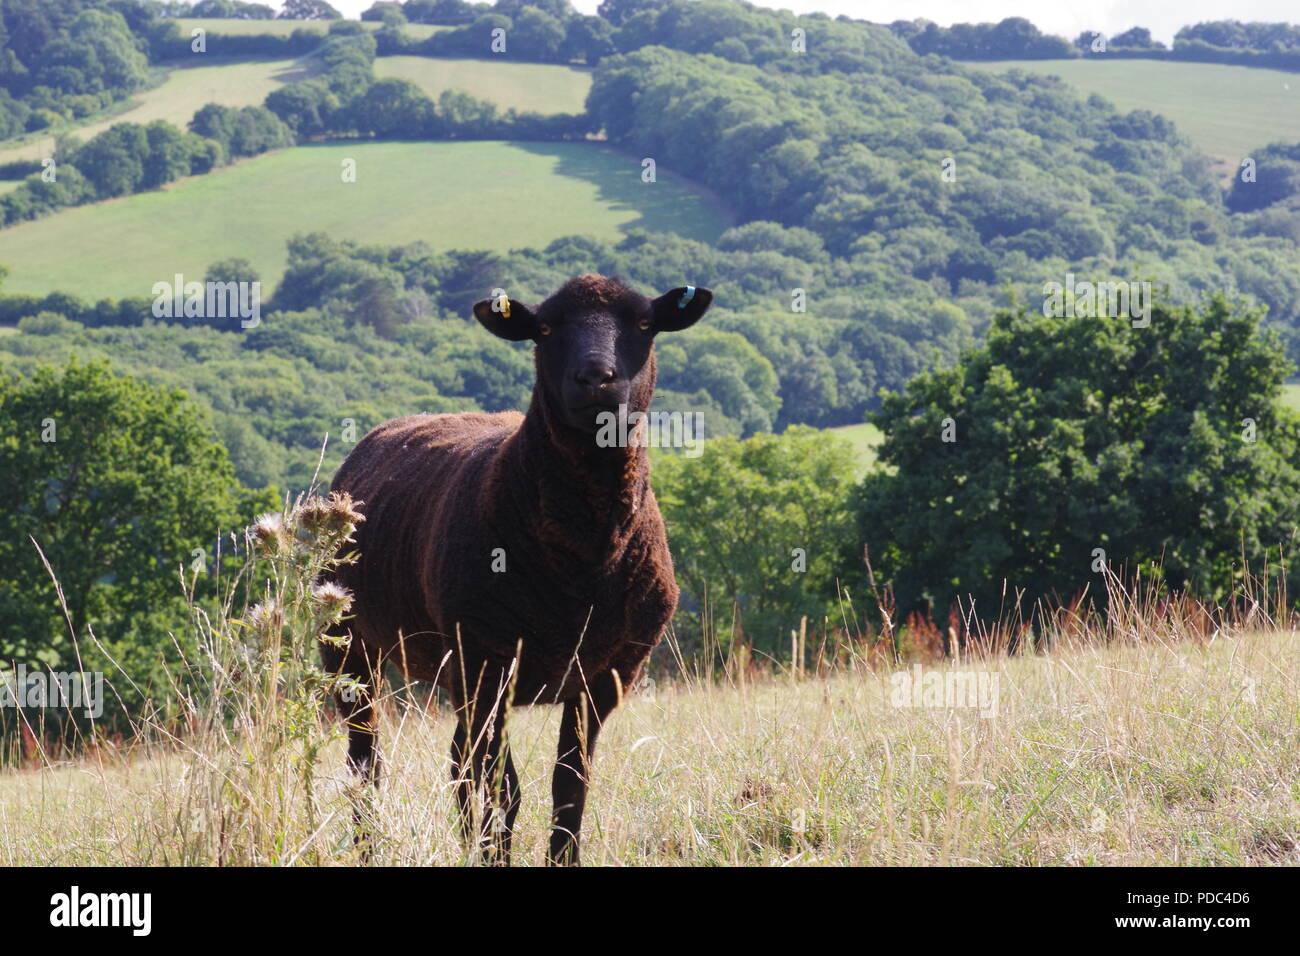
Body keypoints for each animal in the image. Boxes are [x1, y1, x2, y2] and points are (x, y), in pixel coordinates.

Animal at [320, 274, 713, 865]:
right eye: (545, 329)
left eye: (645, 324)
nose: (596, 379)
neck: (583, 561)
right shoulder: (489, 666)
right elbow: (507, 790)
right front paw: (498, 854)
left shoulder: (604, 677)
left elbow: (570, 786)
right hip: (353, 648)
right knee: (367, 764)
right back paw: (375, 846)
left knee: (458, 761)